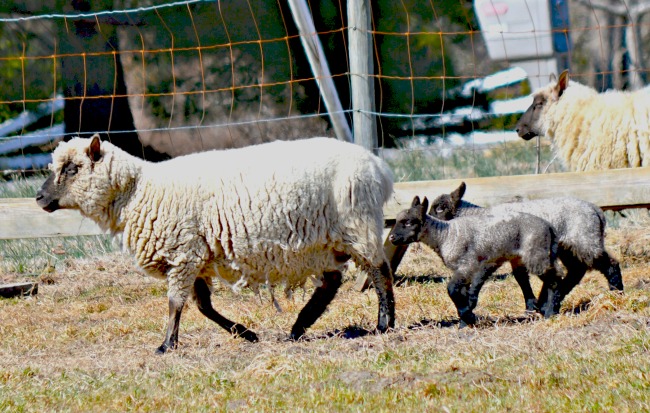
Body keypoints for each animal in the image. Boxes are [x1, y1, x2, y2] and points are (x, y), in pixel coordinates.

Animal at [36, 134, 395, 353]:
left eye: (72, 168)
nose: (38, 197)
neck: (139, 191)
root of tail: (379, 167)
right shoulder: (194, 258)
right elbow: (203, 306)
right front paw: (245, 333)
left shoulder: (182, 253)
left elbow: (175, 303)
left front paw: (166, 345)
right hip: (324, 243)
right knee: (331, 283)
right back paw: (298, 327)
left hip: (357, 224)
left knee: (380, 271)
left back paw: (384, 324)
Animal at [389, 196, 563, 327]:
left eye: (409, 222)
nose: (391, 238)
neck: (444, 236)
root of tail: (549, 227)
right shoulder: (465, 271)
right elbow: (462, 294)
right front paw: (465, 320)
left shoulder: (468, 265)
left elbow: (451, 289)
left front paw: (468, 317)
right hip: (533, 256)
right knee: (552, 277)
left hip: (536, 254)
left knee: (554, 280)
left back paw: (550, 313)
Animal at [428, 182, 624, 312]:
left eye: (441, 208)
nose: (428, 221)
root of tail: (596, 210)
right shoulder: (515, 256)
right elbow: (521, 278)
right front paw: (531, 305)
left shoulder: (493, 255)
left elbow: (480, 278)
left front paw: (469, 303)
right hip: (567, 247)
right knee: (576, 271)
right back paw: (552, 300)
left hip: (584, 240)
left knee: (608, 264)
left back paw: (616, 293)